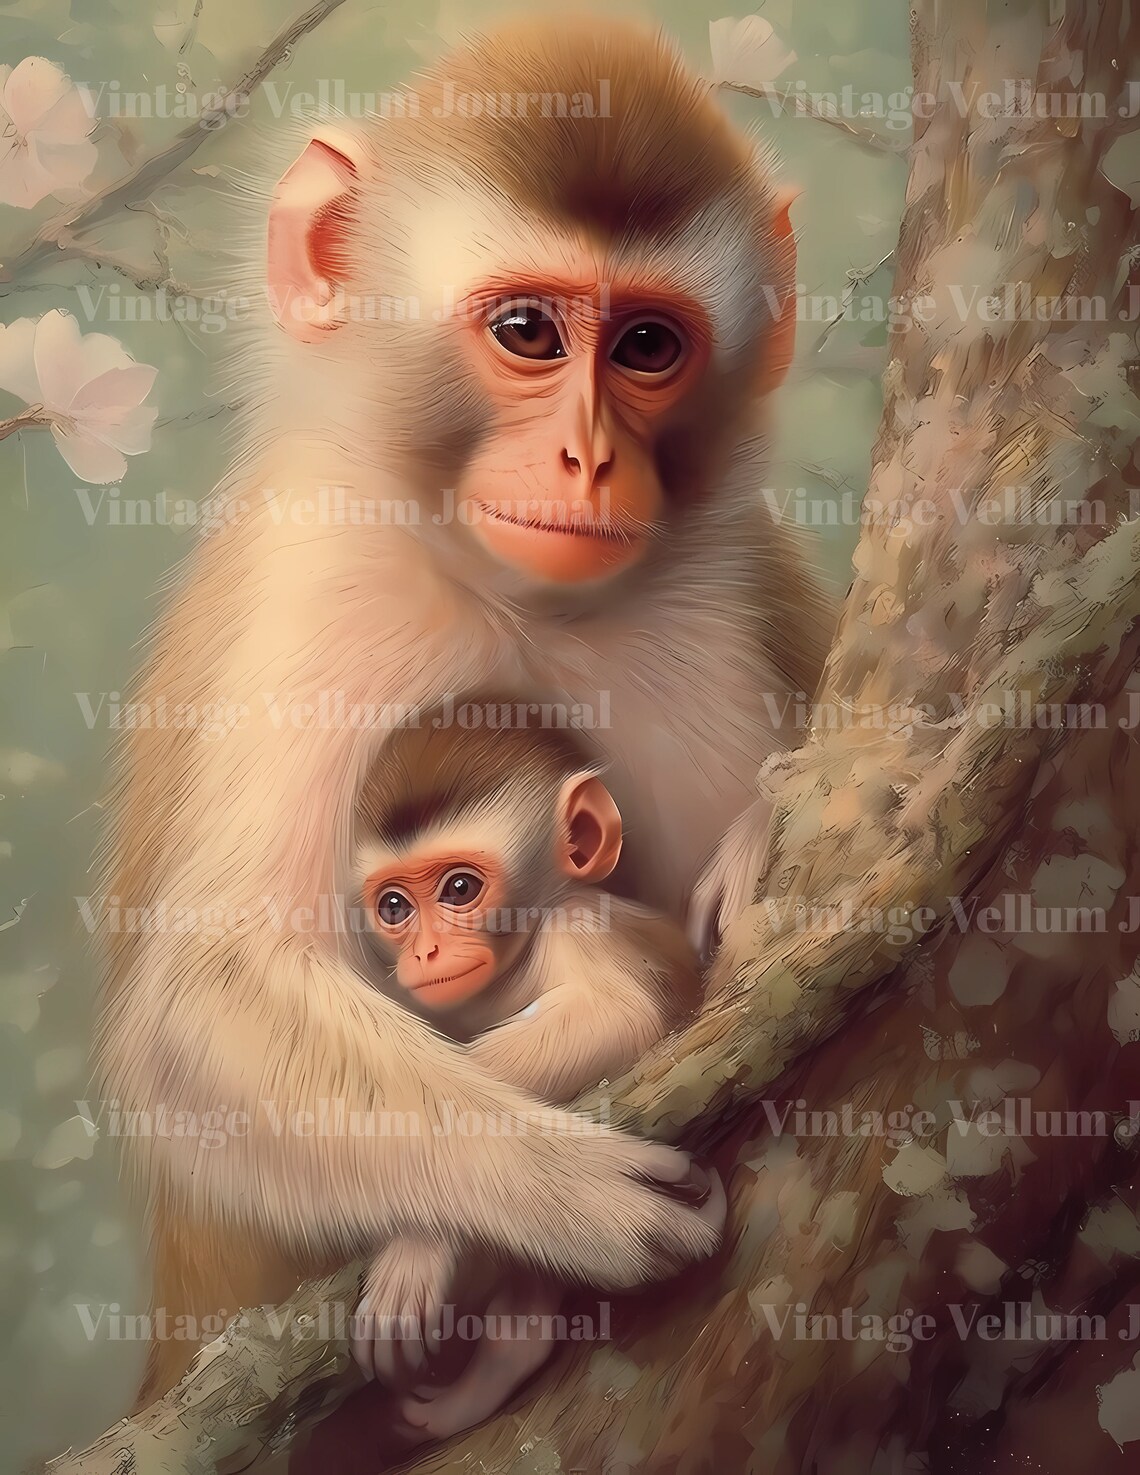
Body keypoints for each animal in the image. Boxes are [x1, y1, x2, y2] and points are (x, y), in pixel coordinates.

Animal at [341, 701, 704, 1444]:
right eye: (394, 906)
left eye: (459, 888)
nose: (425, 951)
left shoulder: (580, 926)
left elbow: (615, 1015)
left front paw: (414, 1242)